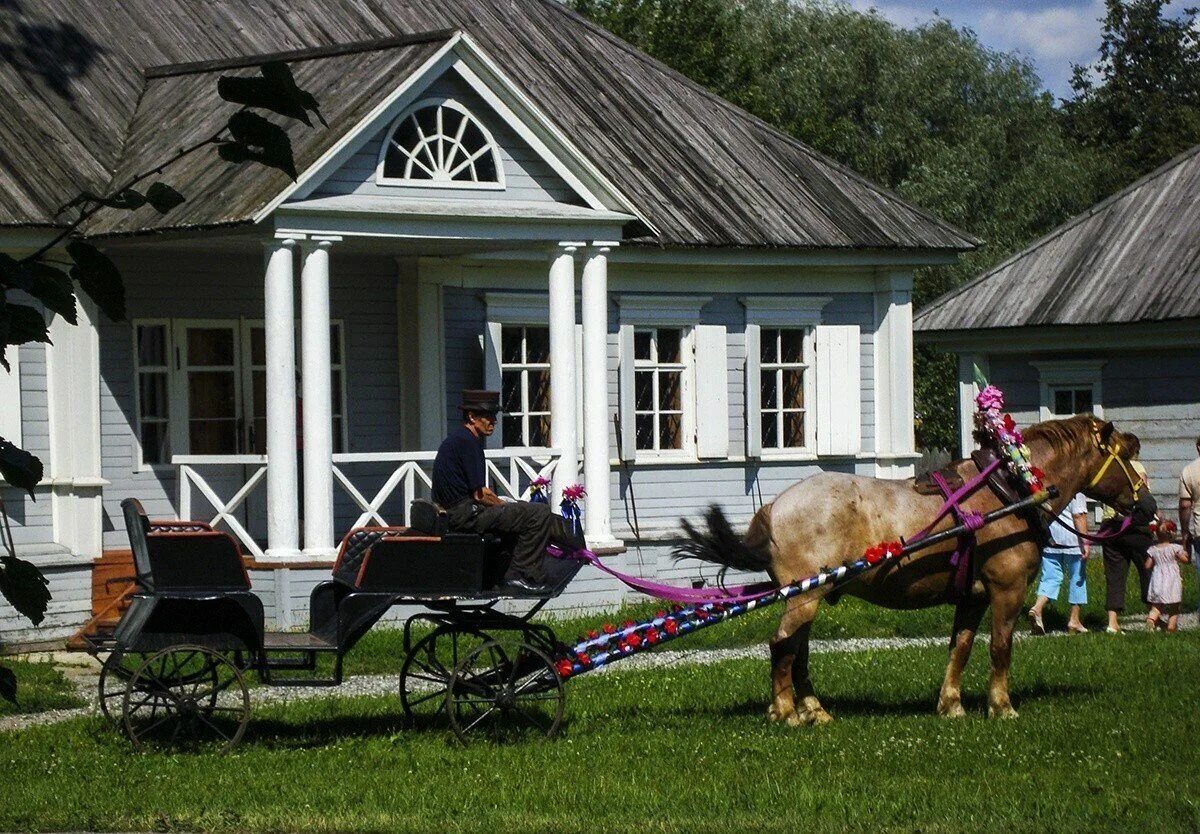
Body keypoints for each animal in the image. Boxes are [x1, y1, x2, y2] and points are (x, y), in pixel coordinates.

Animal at [681, 415, 1137, 724]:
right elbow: (1000, 647)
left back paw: (814, 710)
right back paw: (785, 712)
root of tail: (775, 506)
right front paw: (1002, 706)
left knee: (798, 652)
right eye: (1130, 455)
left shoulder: (972, 597)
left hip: (806, 596)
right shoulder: (1006, 588)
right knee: (781, 646)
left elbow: (961, 647)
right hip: (804, 595)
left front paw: (951, 704)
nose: (1143, 501)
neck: (1012, 489)